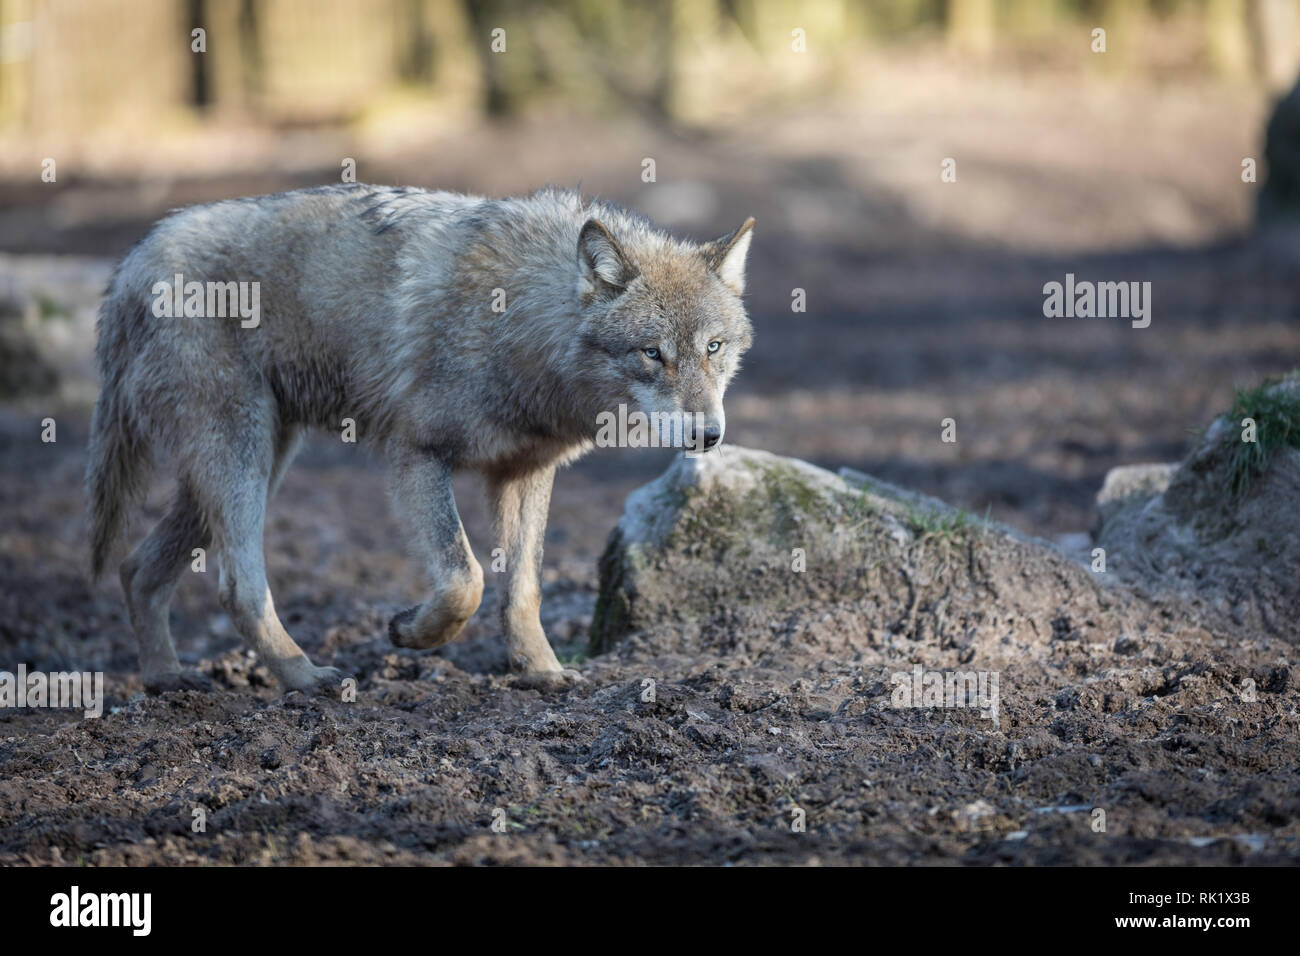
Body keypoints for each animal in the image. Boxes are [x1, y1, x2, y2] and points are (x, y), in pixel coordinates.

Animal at [86, 185, 754, 693]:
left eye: (713, 348)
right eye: (653, 354)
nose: (708, 435)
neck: (521, 327)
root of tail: (134, 260)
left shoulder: (525, 472)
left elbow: (523, 590)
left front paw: (540, 671)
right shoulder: (414, 456)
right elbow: (466, 580)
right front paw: (409, 633)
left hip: (253, 465)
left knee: (137, 568)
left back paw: (166, 679)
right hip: (241, 456)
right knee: (236, 587)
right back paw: (306, 679)